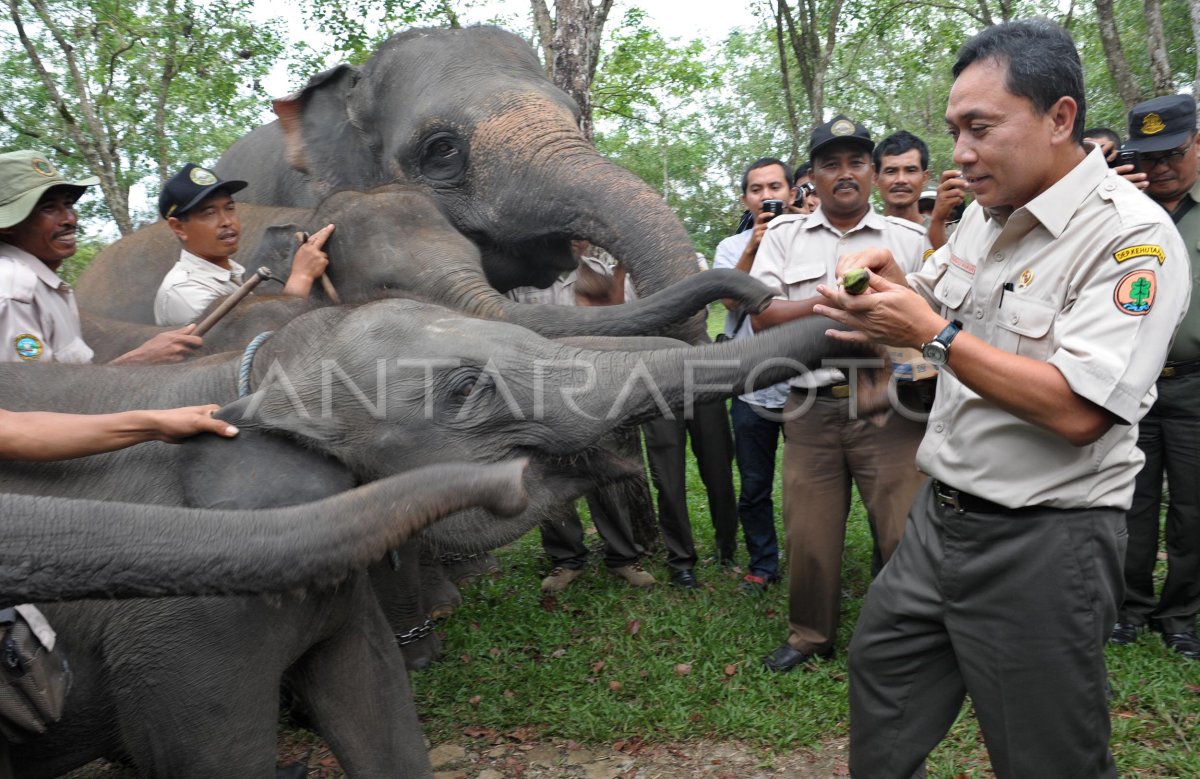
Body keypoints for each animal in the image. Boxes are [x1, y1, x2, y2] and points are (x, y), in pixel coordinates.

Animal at [0, 299, 876, 777]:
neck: (263, 367)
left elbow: (375, 700)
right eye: (463, 390)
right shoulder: (178, 628)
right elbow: (214, 758)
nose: (855, 320)